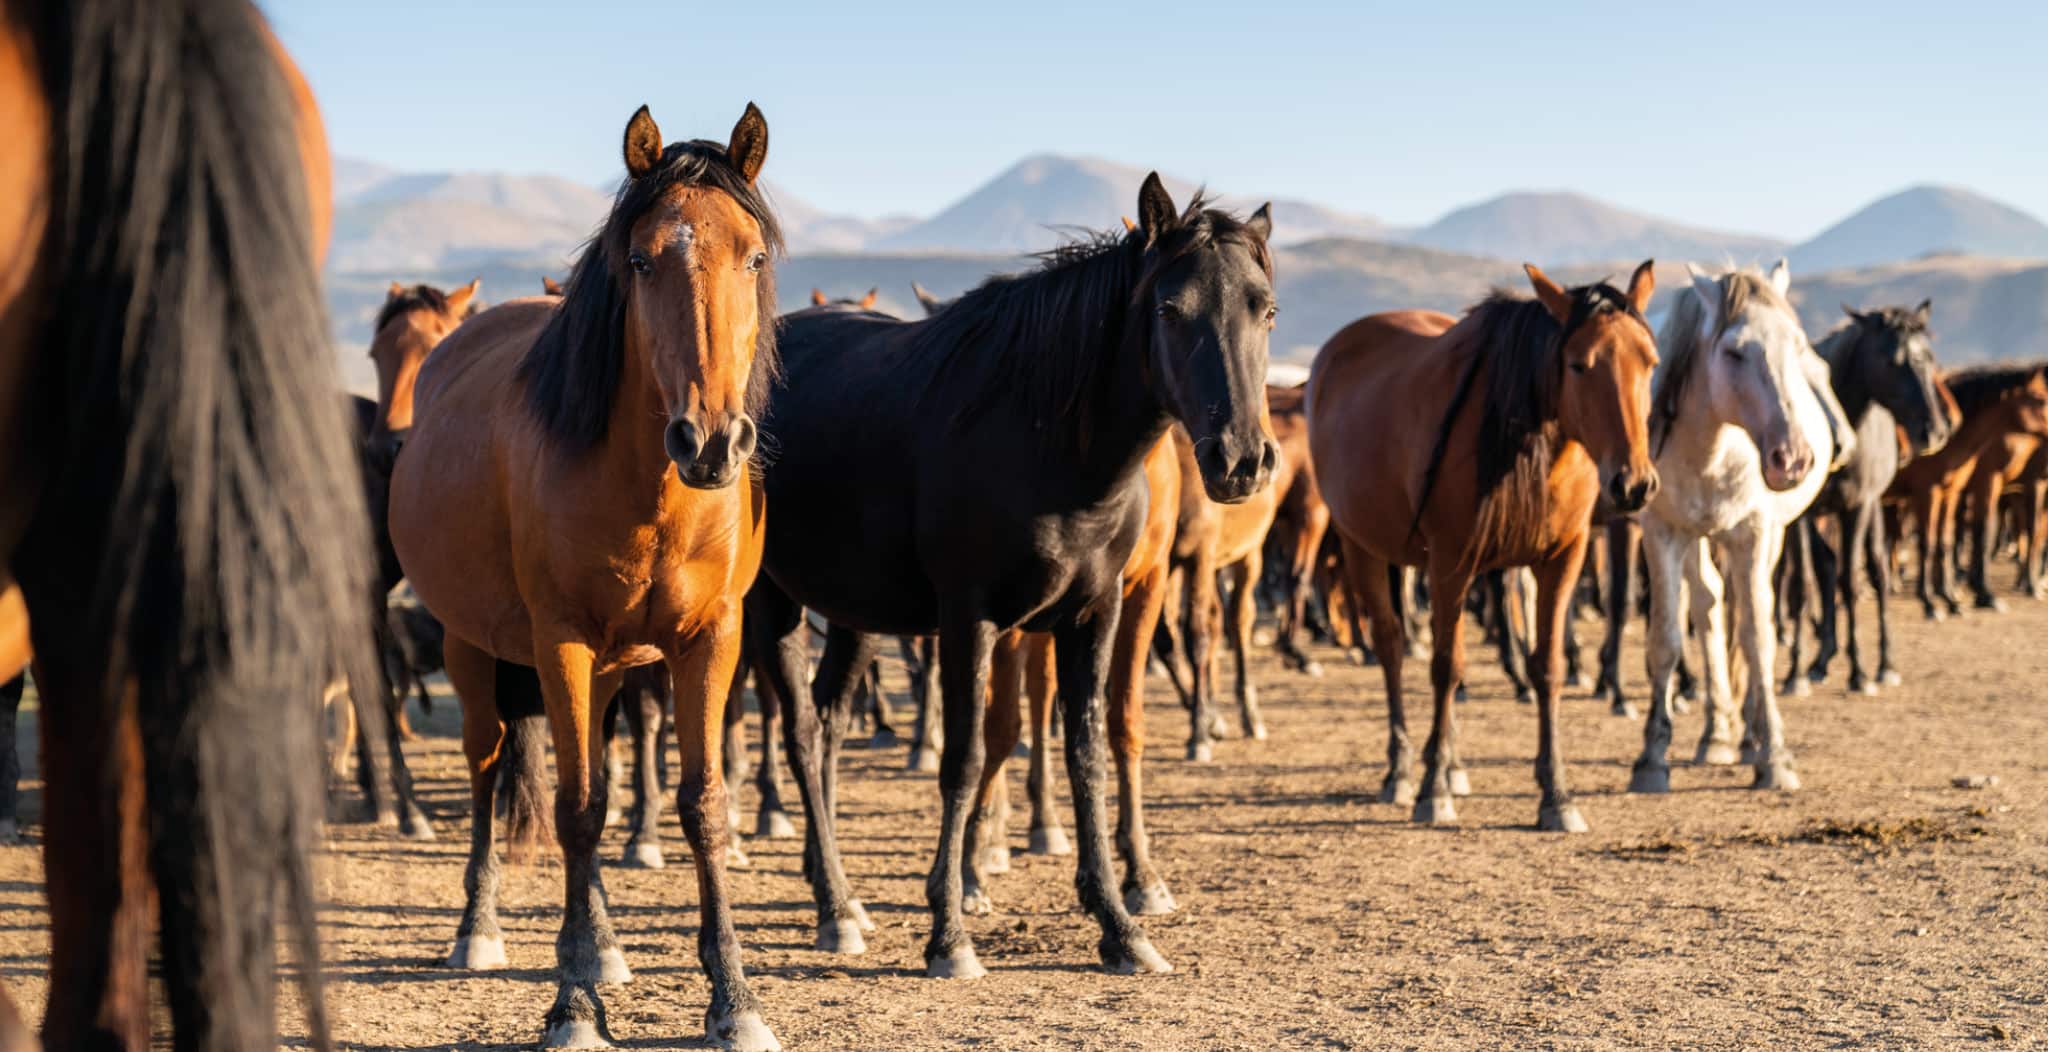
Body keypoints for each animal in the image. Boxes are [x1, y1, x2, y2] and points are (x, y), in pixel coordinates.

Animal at [387, 104, 783, 1051]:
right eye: (640, 260)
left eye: (754, 256)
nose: (711, 441)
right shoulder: (558, 640)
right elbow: (574, 812)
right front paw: (570, 1005)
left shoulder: (712, 639)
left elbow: (699, 804)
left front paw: (735, 999)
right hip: (473, 649)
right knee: (492, 765)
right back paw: (481, 930)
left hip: (607, 667)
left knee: (594, 775)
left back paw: (599, 944)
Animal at [744, 177, 1276, 979]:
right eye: (1168, 310)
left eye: (1265, 309)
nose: (1239, 460)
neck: (1047, 441)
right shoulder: (972, 620)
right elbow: (963, 760)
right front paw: (949, 931)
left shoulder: (1094, 614)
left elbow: (1086, 752)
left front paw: (1118, 922)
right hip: (769, 602)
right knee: (802, 731)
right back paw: (834, 907)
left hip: (852, 613)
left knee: (830, 720)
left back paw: (837, 892)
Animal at [1630, 262, 1836, 795]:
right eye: (1734, 351)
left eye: (1797, 345)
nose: (1793, 458)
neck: (1712, 448)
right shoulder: (1662, 532)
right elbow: (1666, 639)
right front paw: (1651, 758)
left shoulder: (1754, 532)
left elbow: (1759, 636)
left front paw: (1775, 756)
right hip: (1696, 540)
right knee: (1708, 604)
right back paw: (1718, 733)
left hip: (1770, 536)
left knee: (1743, 611)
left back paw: (1748, 736)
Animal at [1779, 302, 1952, 696]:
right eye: (1892, 360)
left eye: (1929, 357)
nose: (1934, 431)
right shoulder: (1800, 515)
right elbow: (1804, 583)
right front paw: (1796, 673)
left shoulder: (1856, 506)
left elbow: (1852, 581)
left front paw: (1858, 672)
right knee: (1827, 567)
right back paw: (1820, 660)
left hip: (1874, 507)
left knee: (1876, 568)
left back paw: (1884, 665)